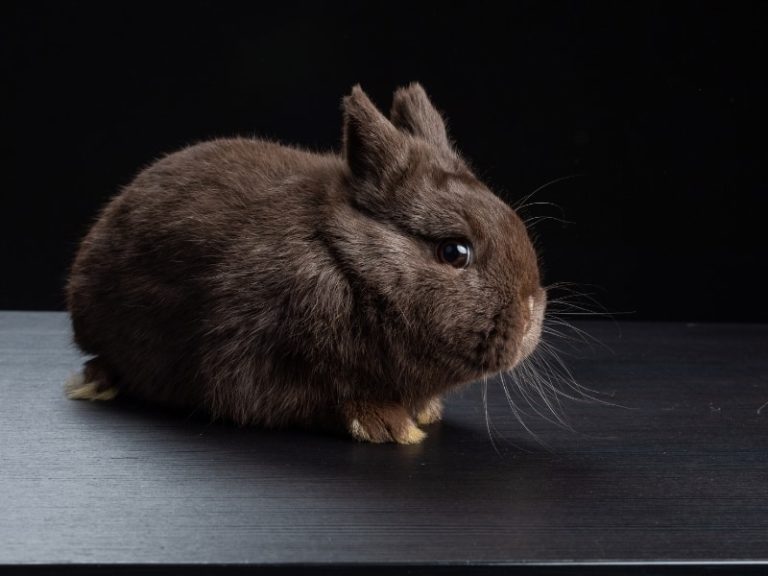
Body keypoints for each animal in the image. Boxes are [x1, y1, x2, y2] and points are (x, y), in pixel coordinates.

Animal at [65, 83, 547, 444]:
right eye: (454, 251)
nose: (530, 313)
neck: (349, 265)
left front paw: (424, 411)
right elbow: (331, 398)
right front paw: (390, 426)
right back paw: (95, 382)